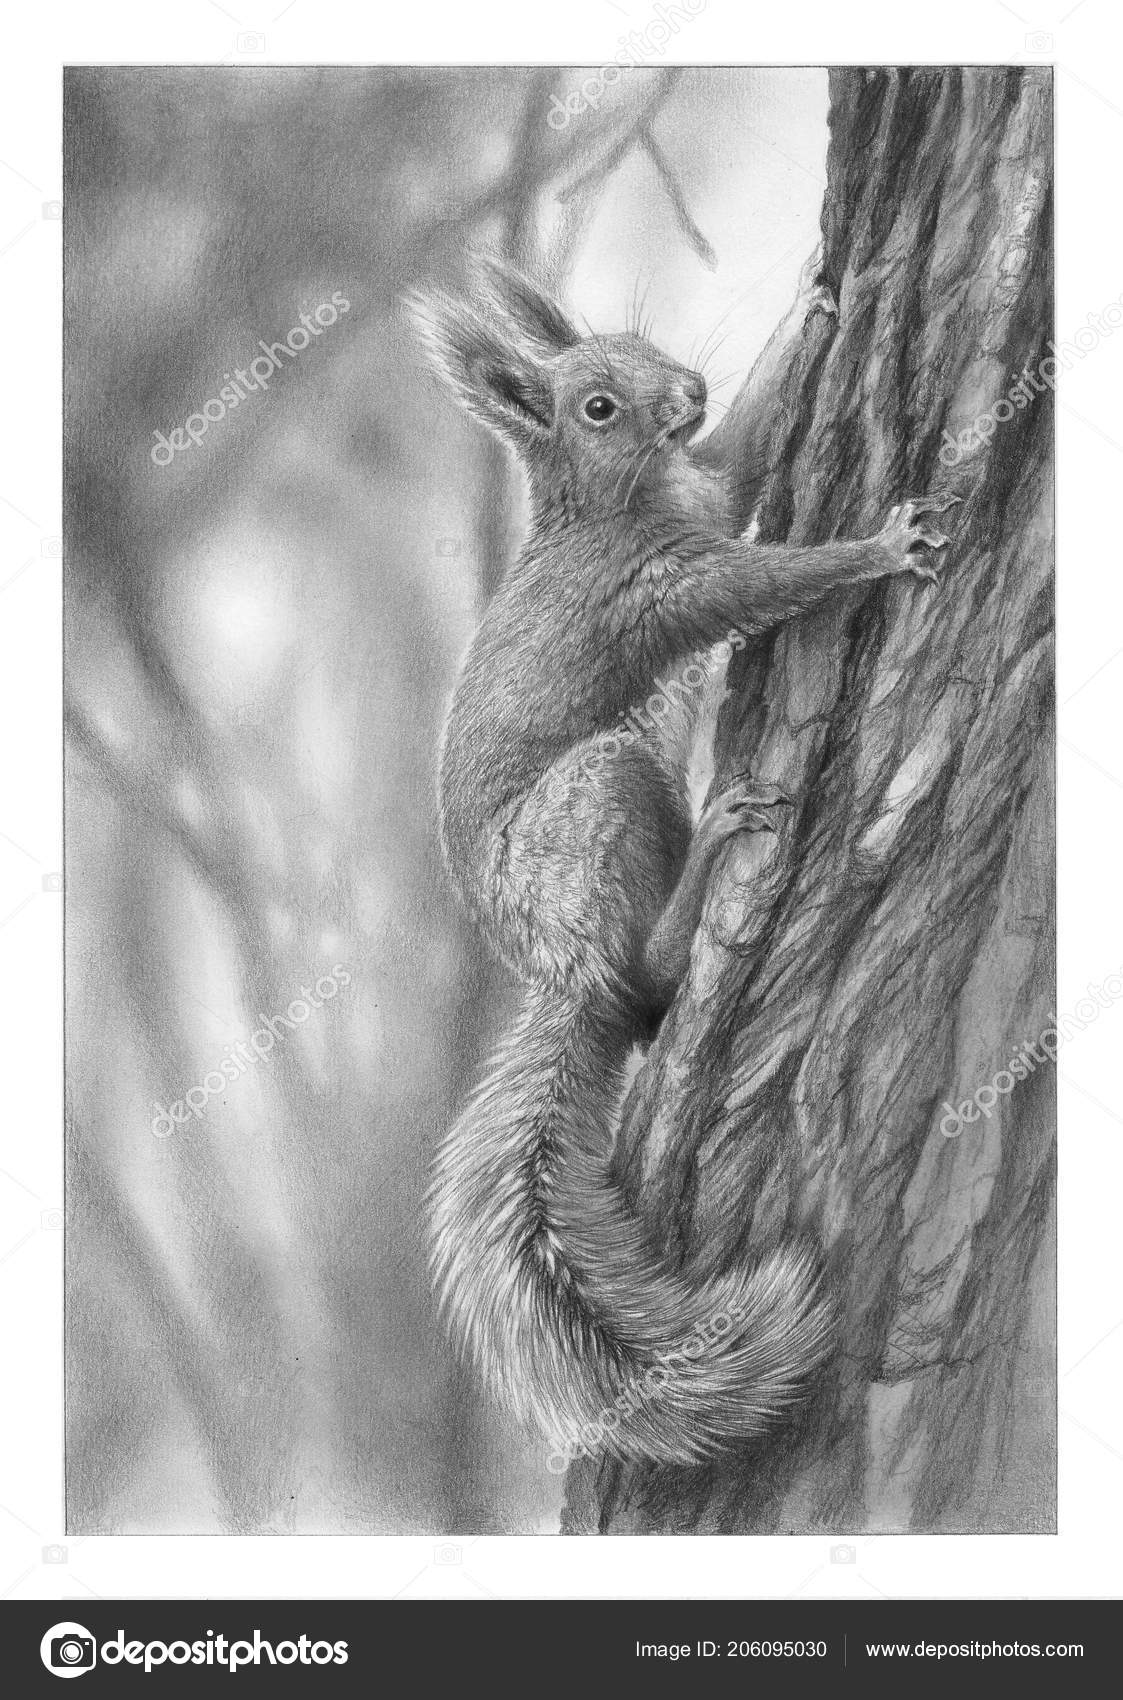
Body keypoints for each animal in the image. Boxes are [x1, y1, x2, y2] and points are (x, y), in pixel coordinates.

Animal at [408, 255, 959, 1465]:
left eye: (641, 344)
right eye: (595, 406)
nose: (687, 391)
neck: (618, 499)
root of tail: (560, 970)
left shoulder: (708, 490)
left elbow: (747, 454)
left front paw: (809, 308)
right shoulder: (663, 586)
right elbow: (768, 578)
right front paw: (880, 546)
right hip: (598, 802)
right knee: (651, 978)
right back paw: (710, 854)